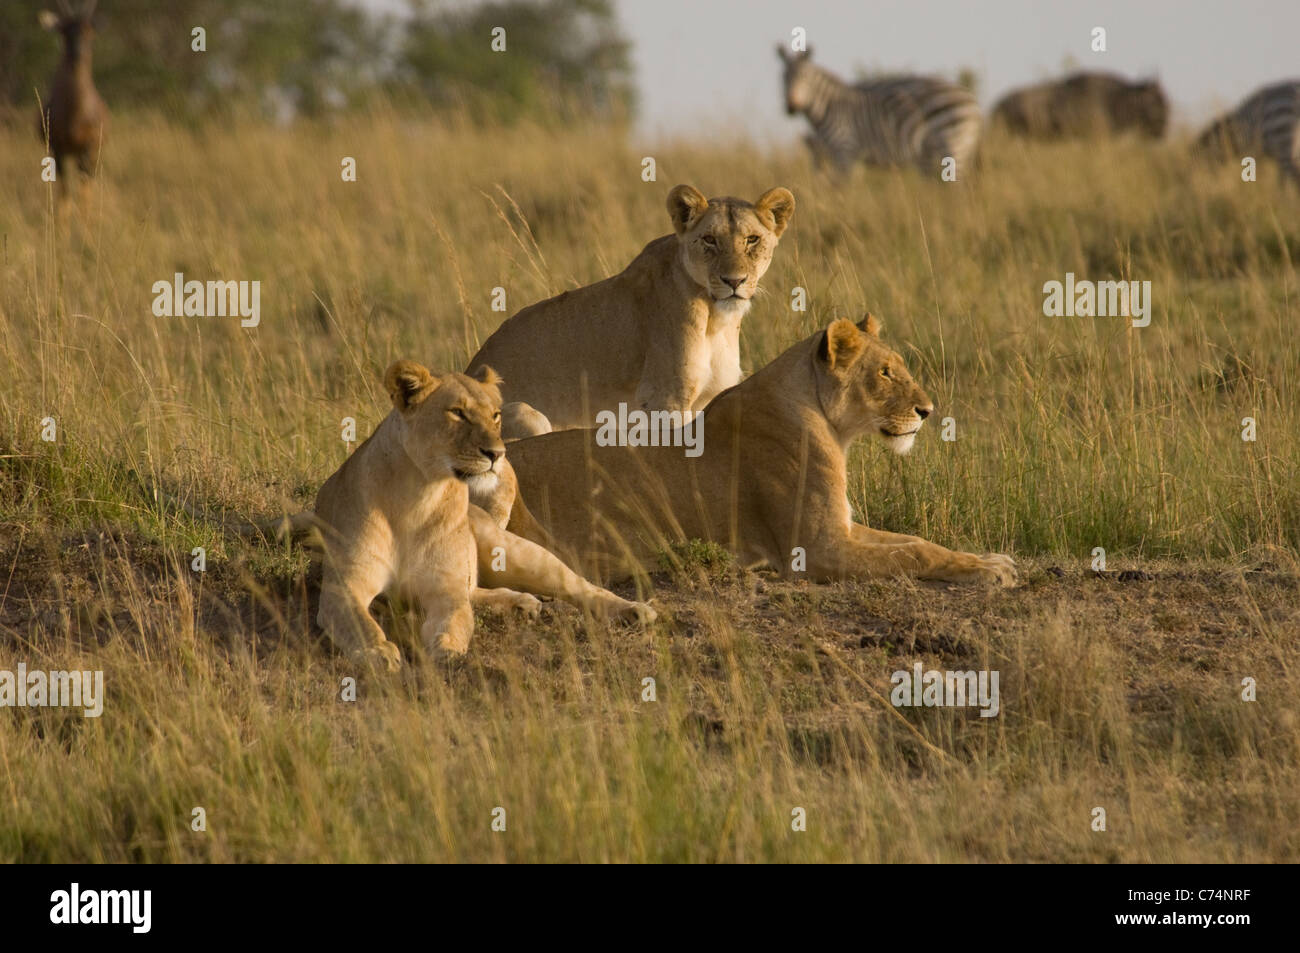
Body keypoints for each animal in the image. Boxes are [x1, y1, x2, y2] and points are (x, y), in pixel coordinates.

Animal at [305, 360, 655, 671]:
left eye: (495, 415)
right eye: (457, 413)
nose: (497, 454)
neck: (418, 495)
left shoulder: (446, 589)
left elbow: (456, 620)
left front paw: (446, 651)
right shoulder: (344, 588)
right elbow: (360, 623)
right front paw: (378, 652)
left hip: (515, 551)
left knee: (578, 586)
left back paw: (634, 610)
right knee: (477, 592)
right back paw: (521, 603)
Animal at [466, 183, 795, 439]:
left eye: (752, 240)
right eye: (709, 240)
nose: (734, 281)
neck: (717, 320)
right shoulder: (664, 400)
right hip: (527, 415)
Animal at [503, 316, 1017, 589]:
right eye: (885, 372)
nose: (927, 411)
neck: (831, 425)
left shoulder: (842, 527)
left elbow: (916, 542)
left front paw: (991, 561)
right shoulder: (816, 549)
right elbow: (912, 556)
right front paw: (988, 572)